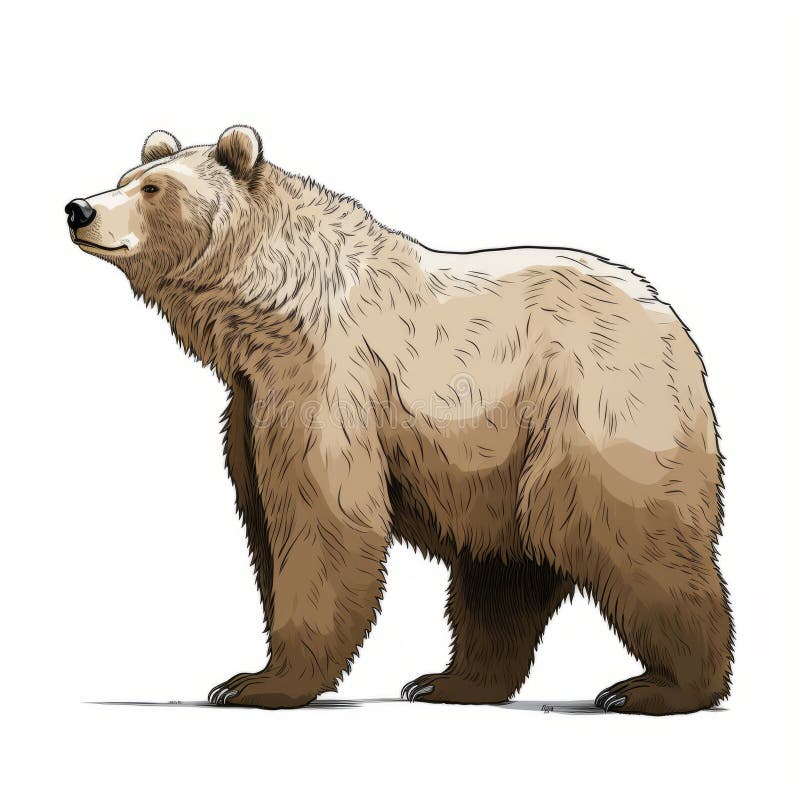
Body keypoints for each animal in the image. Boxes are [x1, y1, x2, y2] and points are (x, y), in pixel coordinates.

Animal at [66, 125, 733, 714]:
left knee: (622, 530)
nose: (79, 208)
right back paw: (450, 681)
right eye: (123, 178)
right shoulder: (252, 402)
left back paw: (656, 688)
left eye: (155, 188)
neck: (267, 314)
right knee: (501, 574)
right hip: (502, 461)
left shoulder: (331, 380)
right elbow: (264, 519)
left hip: (593, 409)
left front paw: (257, 683)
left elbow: (324, 520)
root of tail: (670, 319)